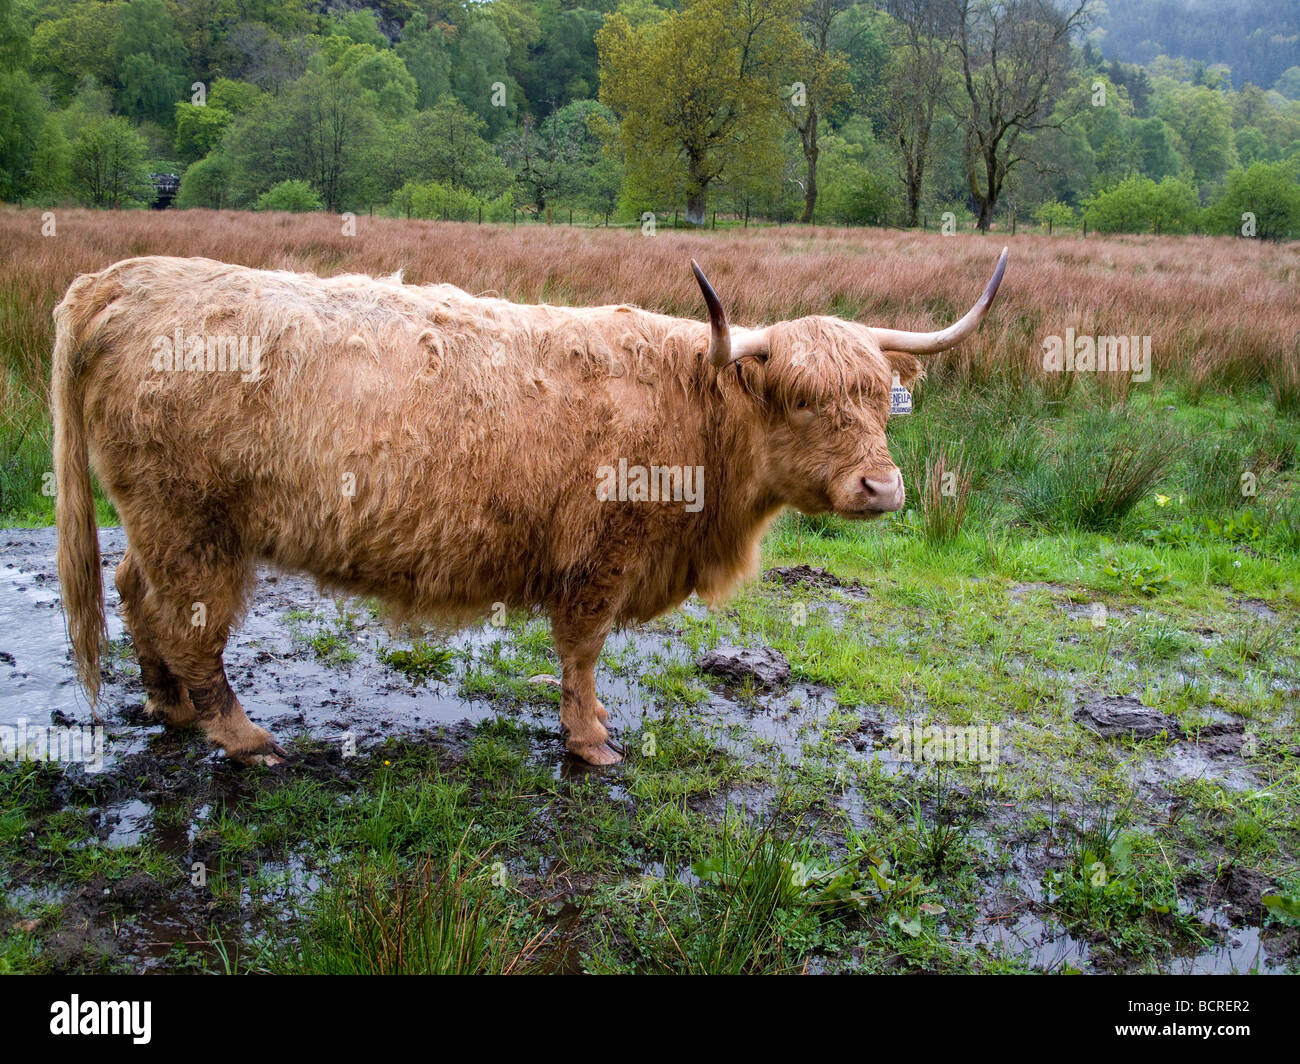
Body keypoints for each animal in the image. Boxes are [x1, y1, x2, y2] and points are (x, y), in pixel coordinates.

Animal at [52, 248, 1007, 766]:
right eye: (804, 401)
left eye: (881, 399)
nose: (882, 488)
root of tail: (118, 279)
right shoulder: (601, 553)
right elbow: (581, 651)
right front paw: (590, 739)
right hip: (194, 522)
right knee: (187, 620)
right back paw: (239, 733)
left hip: (164, 519)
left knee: (136, 591)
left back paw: (169, 707)